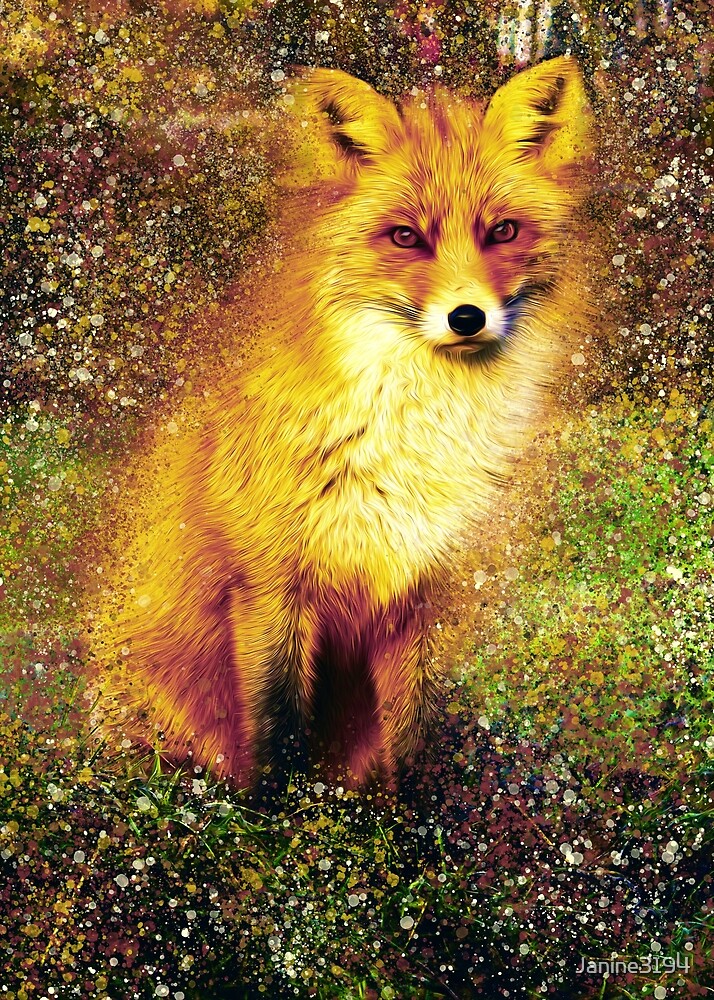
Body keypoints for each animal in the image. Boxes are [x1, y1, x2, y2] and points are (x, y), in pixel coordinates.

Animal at [91, 56, 593, 789]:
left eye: (502, 231)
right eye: (406, 236)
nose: (467, 317)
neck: (408, 439)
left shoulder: (419, 594)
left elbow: (410, 731)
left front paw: (412, 811)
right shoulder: (270, 584)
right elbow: (278, 731)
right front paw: (282, 815)